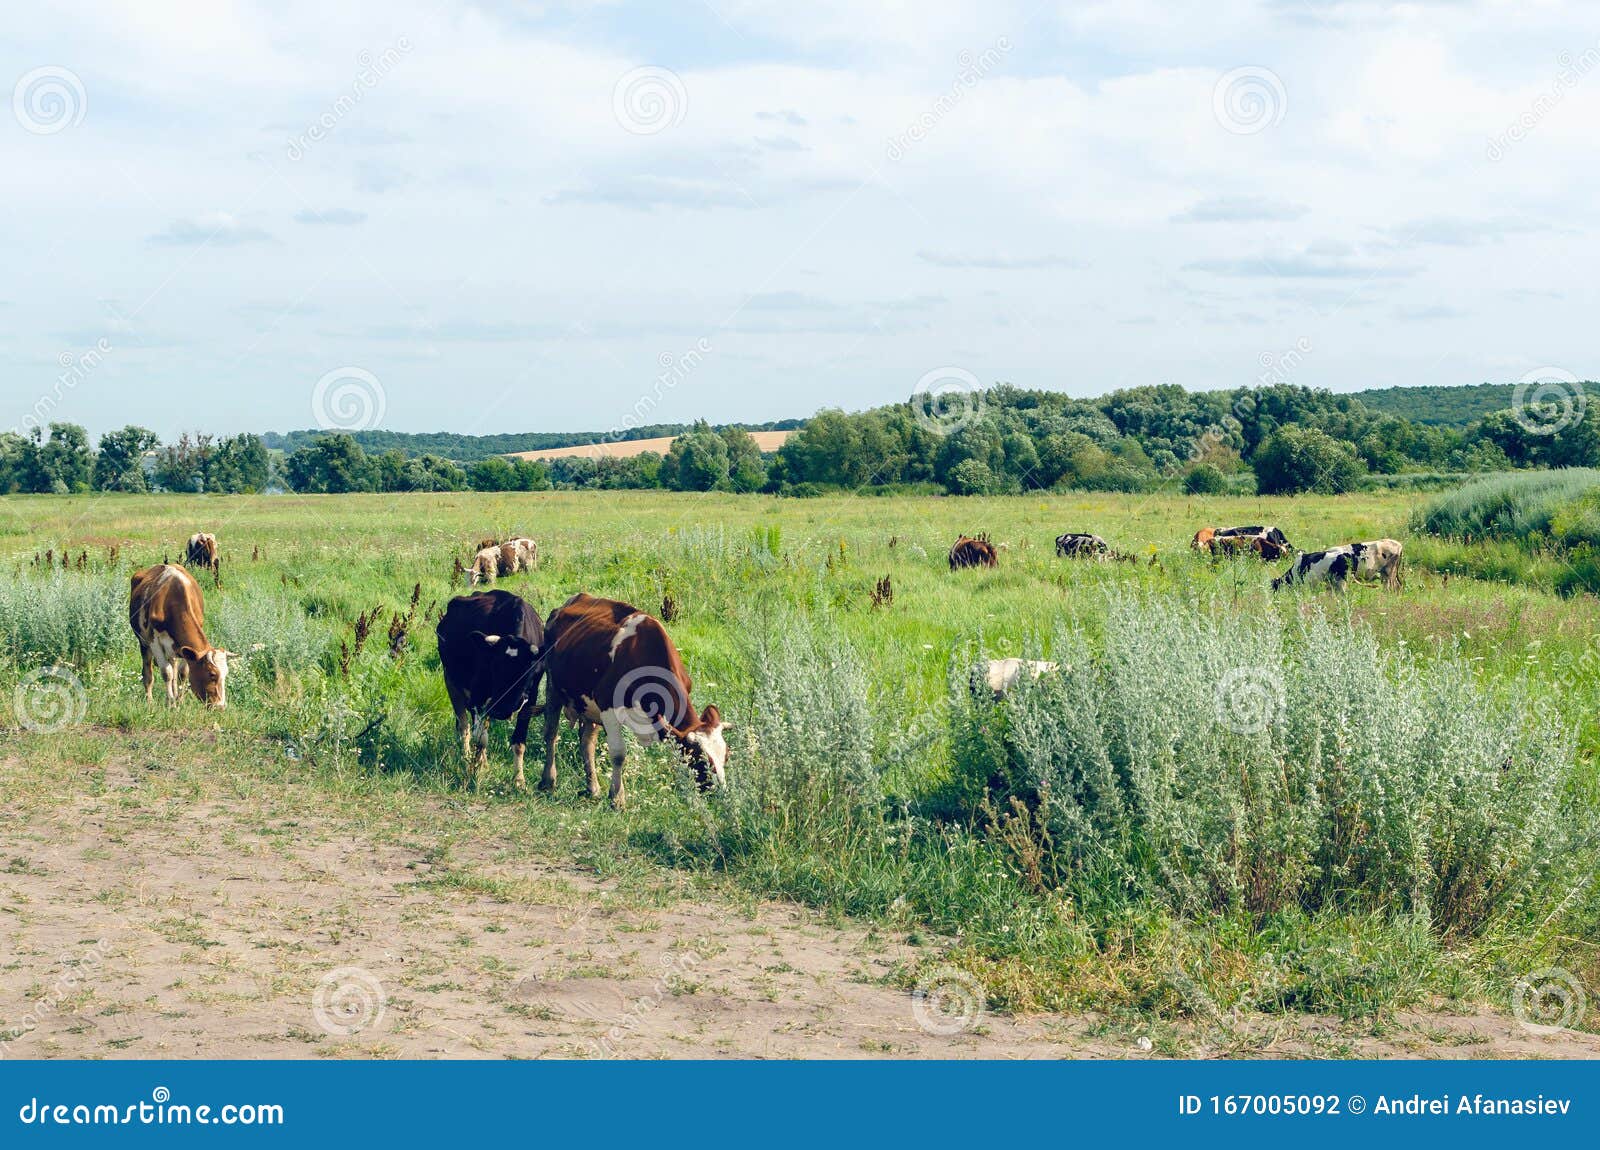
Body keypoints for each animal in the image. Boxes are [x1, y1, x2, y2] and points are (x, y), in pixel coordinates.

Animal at [128, 564, 235, 707]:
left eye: (226, 673)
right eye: (212, 674)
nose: (220, 706)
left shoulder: (186, 648)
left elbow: (182, 673)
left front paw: (179, 701)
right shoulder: (154, 641)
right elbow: (166, 673)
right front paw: (170, 703)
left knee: (173, 667)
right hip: (143, 643)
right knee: (148, 673)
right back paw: (150, 701)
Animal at [436, 590, 545, 790]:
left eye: (527, 672)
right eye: (494, 666)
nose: (501, 710)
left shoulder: (530, 699)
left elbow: (519, 741)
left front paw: (519, 780)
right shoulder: (478, 696)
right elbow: (480, 738)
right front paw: (476, 773)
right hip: (451, 681)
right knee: (465, 727)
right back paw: (468, 758)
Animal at [532, 593, 727, 809]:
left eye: (726, 756)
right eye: (701, 758)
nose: (722, 793)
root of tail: (576, 598)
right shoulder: (607, 706)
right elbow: (618, 754)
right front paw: (617, 798)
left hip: (588, 705)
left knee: (586, 742)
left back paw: (592, 788)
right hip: (553, 686)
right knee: (551, 733)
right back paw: (548, 781)